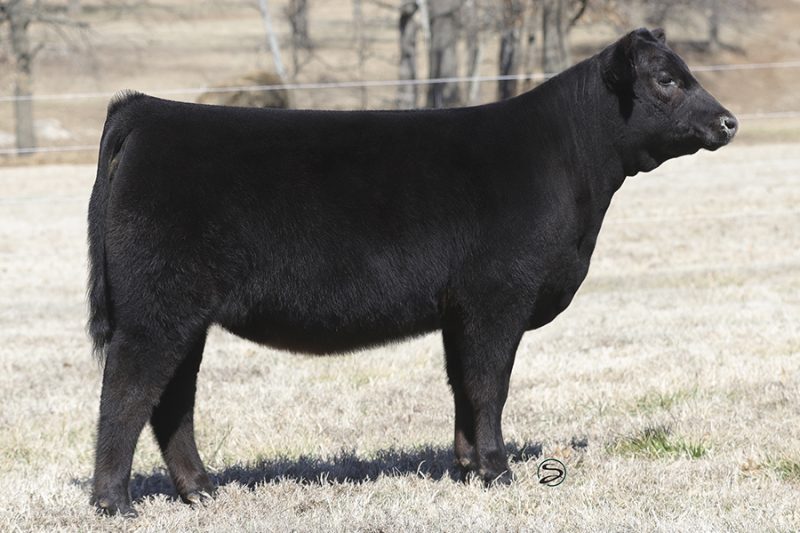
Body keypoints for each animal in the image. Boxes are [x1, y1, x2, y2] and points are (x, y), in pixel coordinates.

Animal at [87, 28, 737, 516]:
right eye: (666, 79)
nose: (729, 121)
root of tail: (148, 108)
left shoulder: (459, 307)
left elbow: (463, 385)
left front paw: (468, 468)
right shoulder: (498, 296)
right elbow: (490, 384)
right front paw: (499, 472)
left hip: (186, 315)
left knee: (172, 400)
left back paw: (201, 491)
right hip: (156, 310)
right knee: (127, 390)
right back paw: (115, 503)